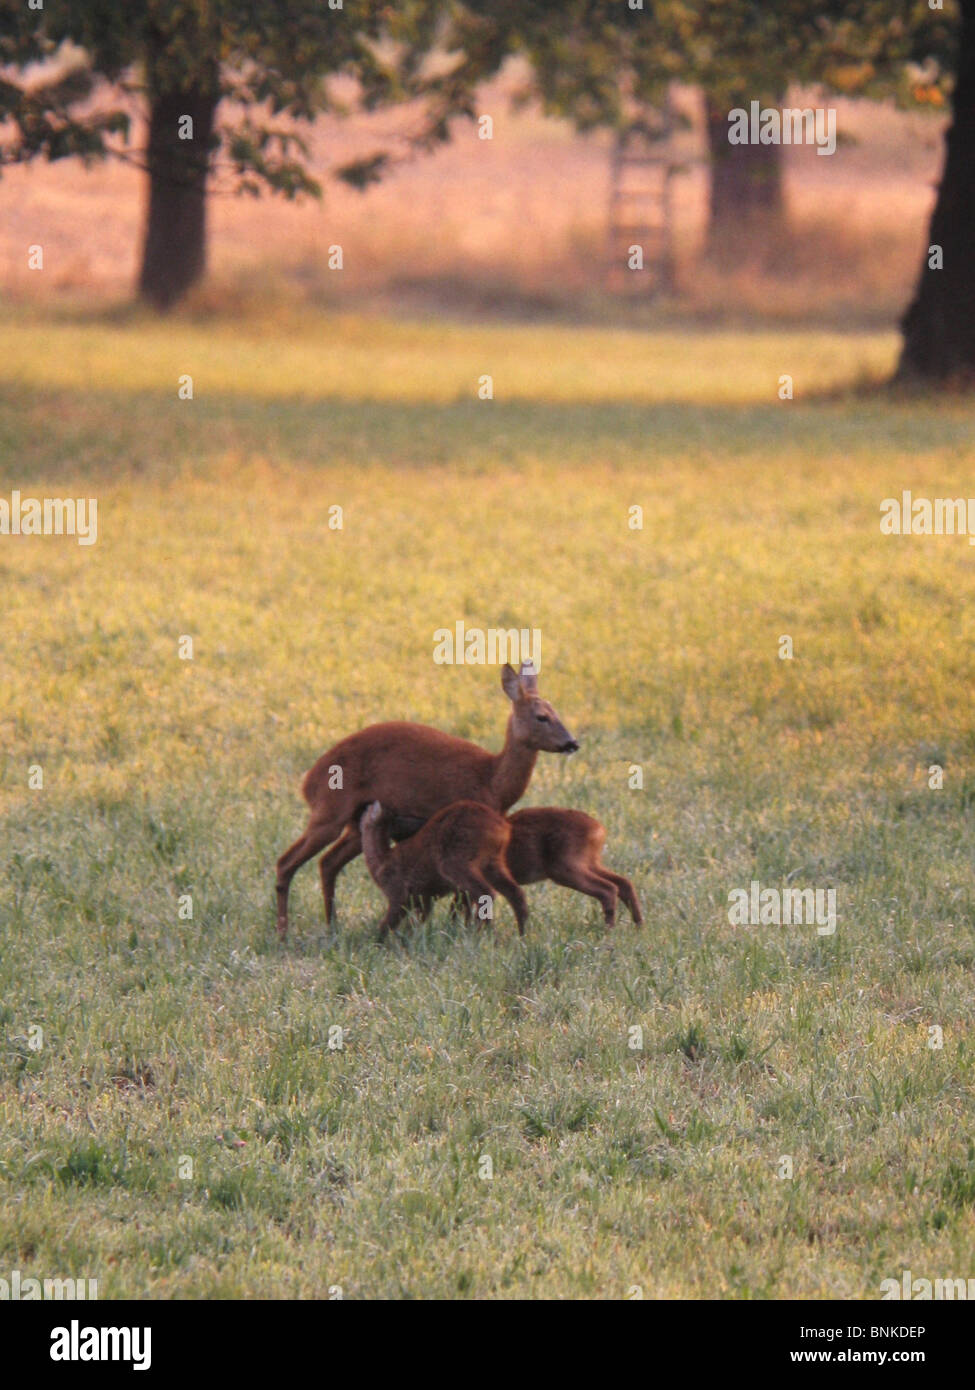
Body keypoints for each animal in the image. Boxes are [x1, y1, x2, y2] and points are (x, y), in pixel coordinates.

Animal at [359, 800, 528, 937]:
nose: (363, 808)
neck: (381, 862)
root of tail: (502, 827)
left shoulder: (398, 891)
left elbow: (387, 924)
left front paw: (379, 943)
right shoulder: (424, 898)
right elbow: (415, 924)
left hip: (454, 860)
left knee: (486, 892)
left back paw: (479, 933)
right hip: (492, 862)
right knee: (516, 893)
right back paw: (521, 934)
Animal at [504, 808, 643, 928]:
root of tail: (599, 829)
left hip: (565, 866)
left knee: (608, 888)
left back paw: (609, 930)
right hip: (589, 862)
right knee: (624, 882)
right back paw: (639, 926)